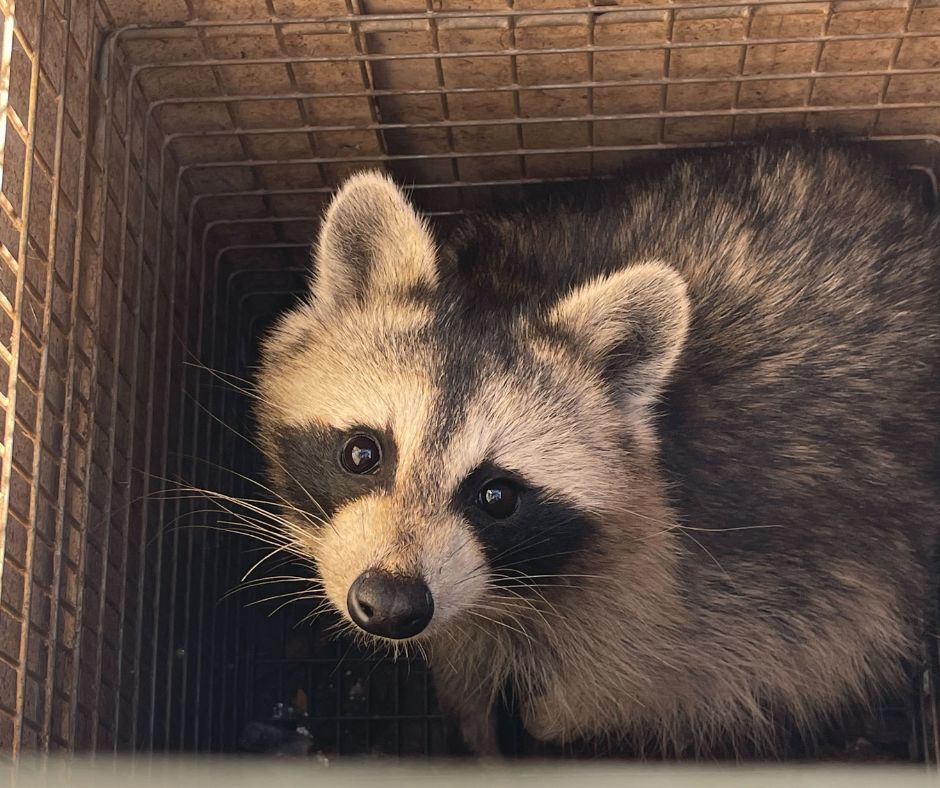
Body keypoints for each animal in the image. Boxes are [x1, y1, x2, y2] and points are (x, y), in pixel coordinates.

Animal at [255, 141, 940, 758]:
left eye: (497, 496)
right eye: (362, 454)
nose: (393, 606)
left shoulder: (748, 581)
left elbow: (680, 674)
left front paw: (545, 717)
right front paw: (471, 715)